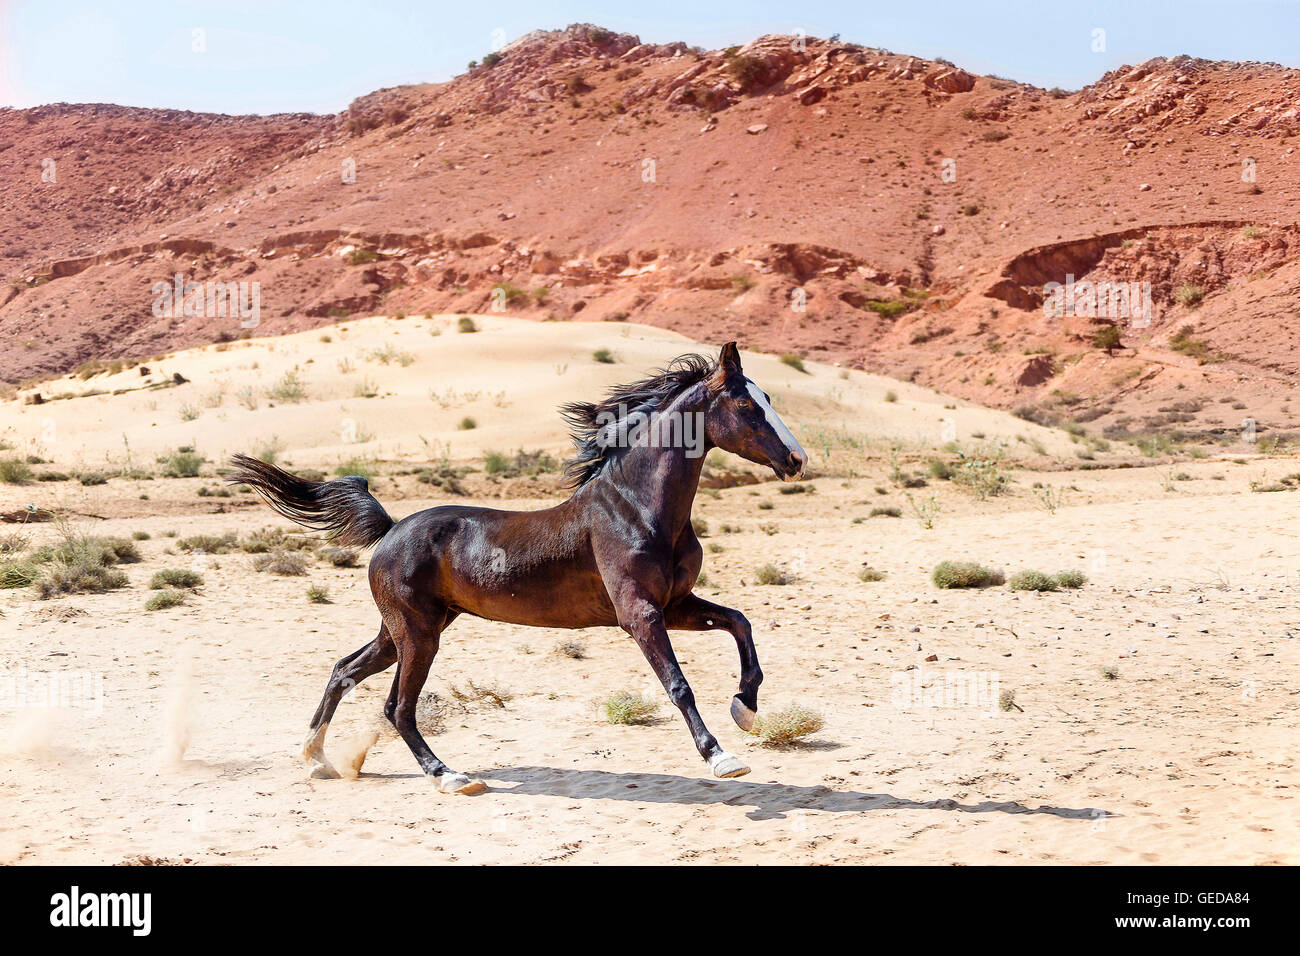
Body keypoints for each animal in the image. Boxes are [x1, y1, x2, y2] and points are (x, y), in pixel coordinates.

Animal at [228, 341, 808, 793]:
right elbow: (678, 684)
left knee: (345, 670)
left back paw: (316, 759)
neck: (637, 506)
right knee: (397, 706)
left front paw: (746, 709)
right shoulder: (640, 615)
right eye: (746, 404)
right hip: (418, 633)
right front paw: (722, 757)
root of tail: (391, 529)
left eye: (767, 399)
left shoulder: (676, 605)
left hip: (408, 628)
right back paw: (448, 776)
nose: (797, 460)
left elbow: (740, 623)